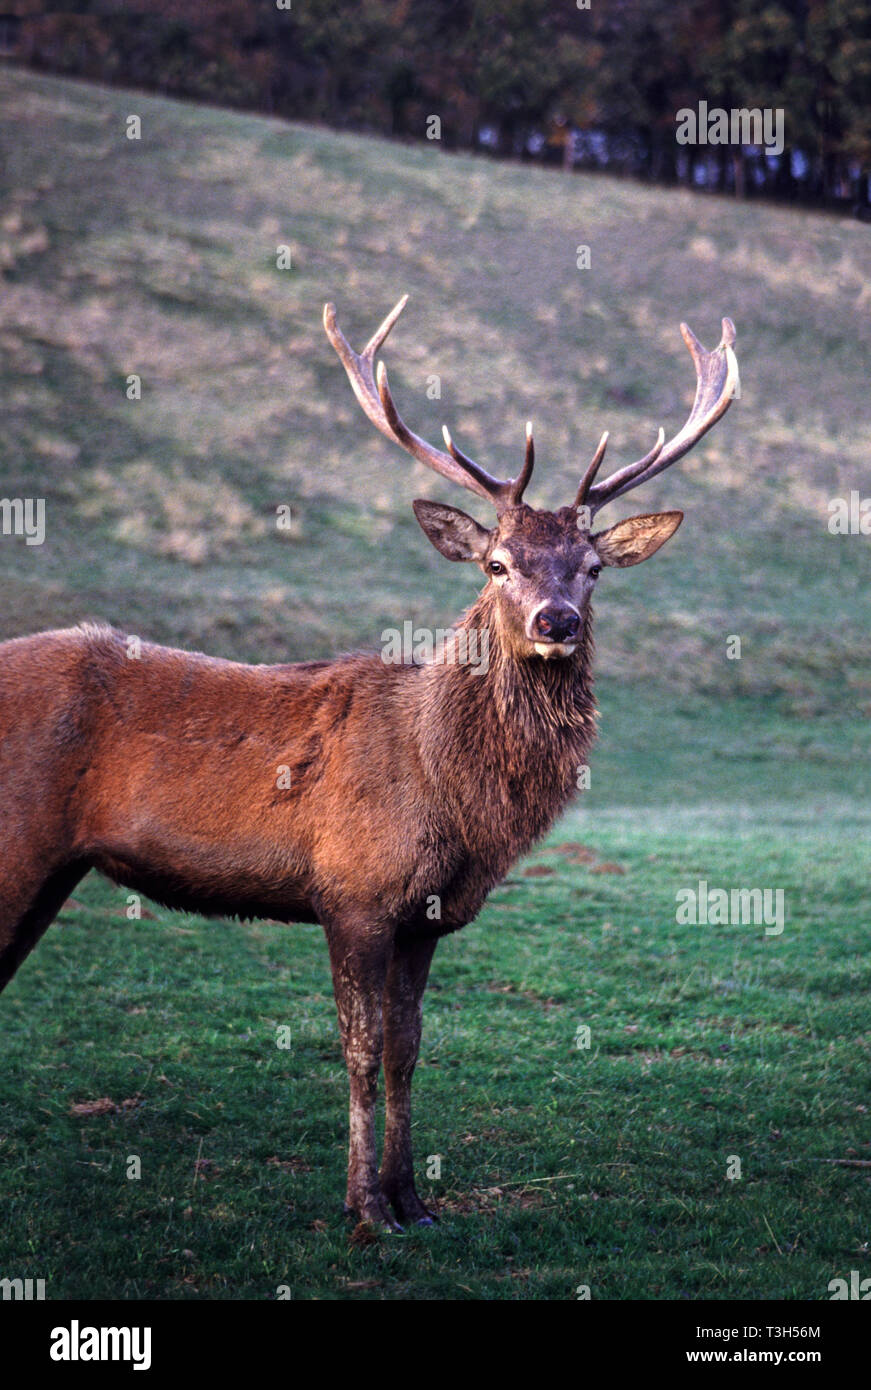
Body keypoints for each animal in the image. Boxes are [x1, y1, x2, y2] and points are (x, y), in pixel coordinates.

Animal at [0, 297, 738, 1230]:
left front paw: (413, 1198)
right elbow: (355, 1048)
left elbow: (406, 1049)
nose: (556, 621)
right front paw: (363, 1210)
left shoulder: (427, 914)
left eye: (595, 568)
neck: (453, 798)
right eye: (496, 563)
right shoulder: (350, 890)